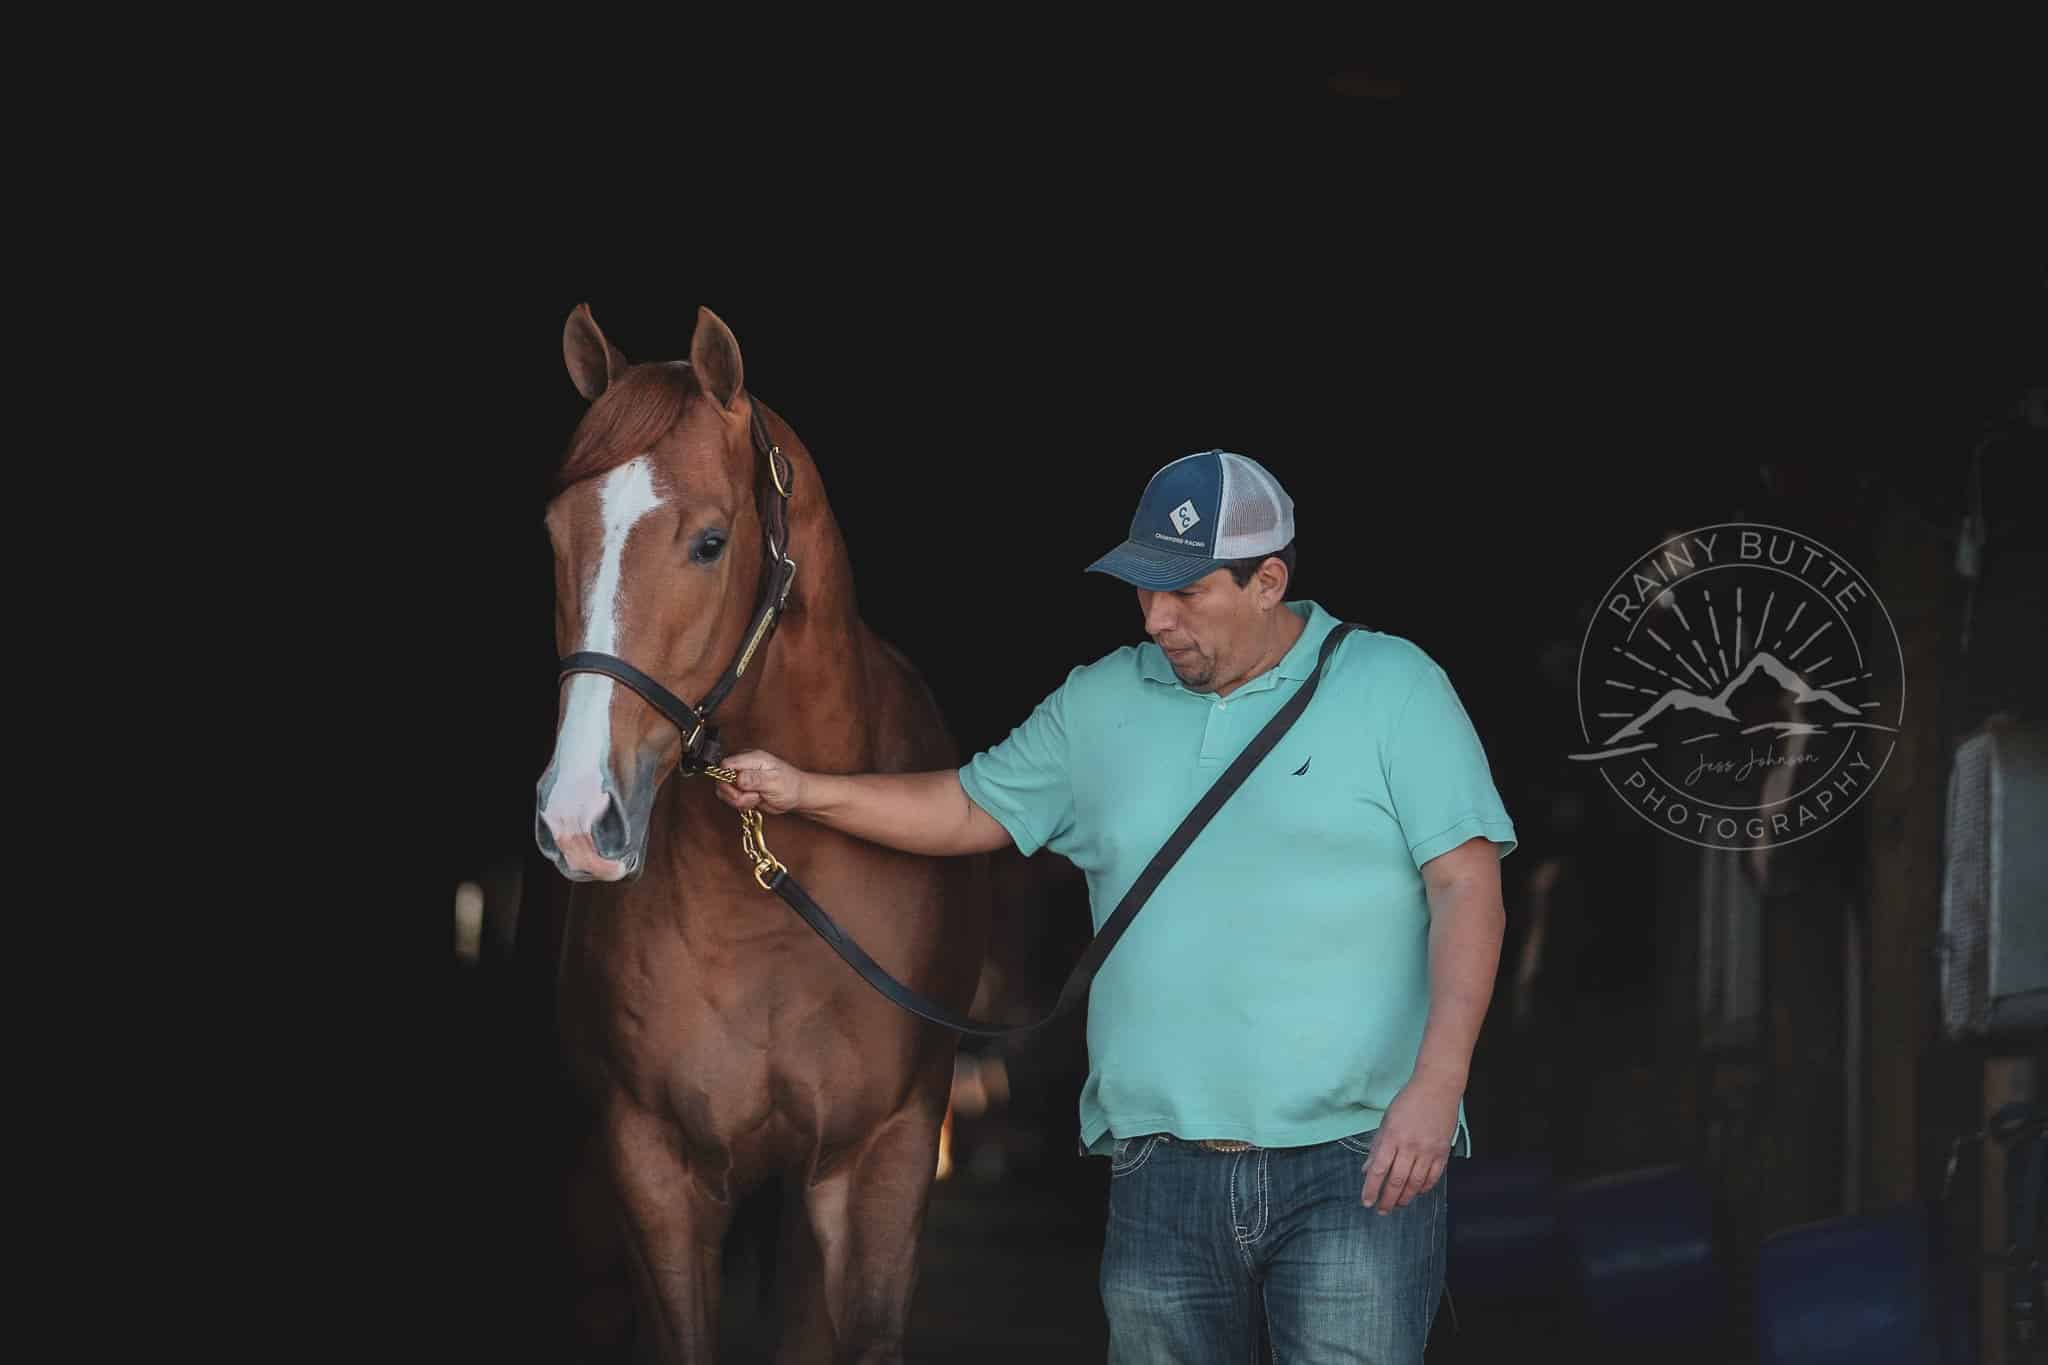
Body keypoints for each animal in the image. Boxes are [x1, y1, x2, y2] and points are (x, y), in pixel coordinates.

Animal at [532, 302, 992, 1362]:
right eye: (555, 535)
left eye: (709, 542)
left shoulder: (881, 1161)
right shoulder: (649, 1164)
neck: (774, 917)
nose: (576, 819)